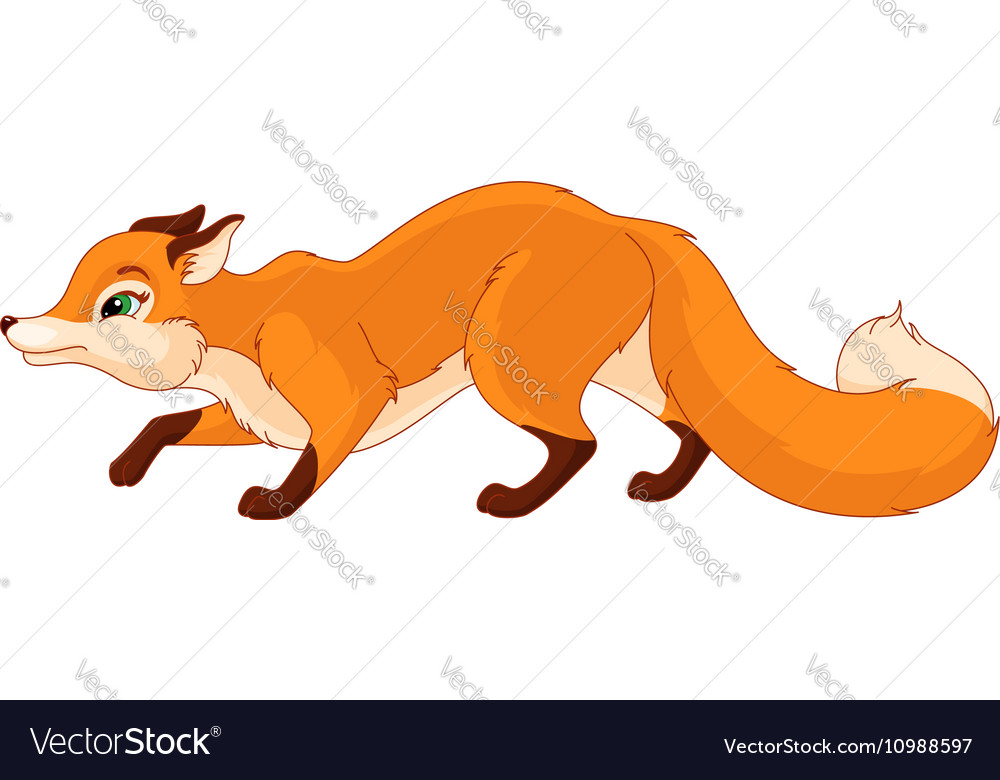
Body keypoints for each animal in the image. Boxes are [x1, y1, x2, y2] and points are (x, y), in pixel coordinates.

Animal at [2, 181, 996, 519]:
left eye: (116, 303)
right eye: (65, 288)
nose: (11, 323)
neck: (244, 335)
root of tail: (625, 219)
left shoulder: (345, 402)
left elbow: (315, 465)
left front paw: (275, 508)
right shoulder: (260, 418)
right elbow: (165, 431)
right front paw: (127, 469)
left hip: (503, 363)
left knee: (580, 445)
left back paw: (515, 504)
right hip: (627, 371)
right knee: (692, 430)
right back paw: (659, 488)